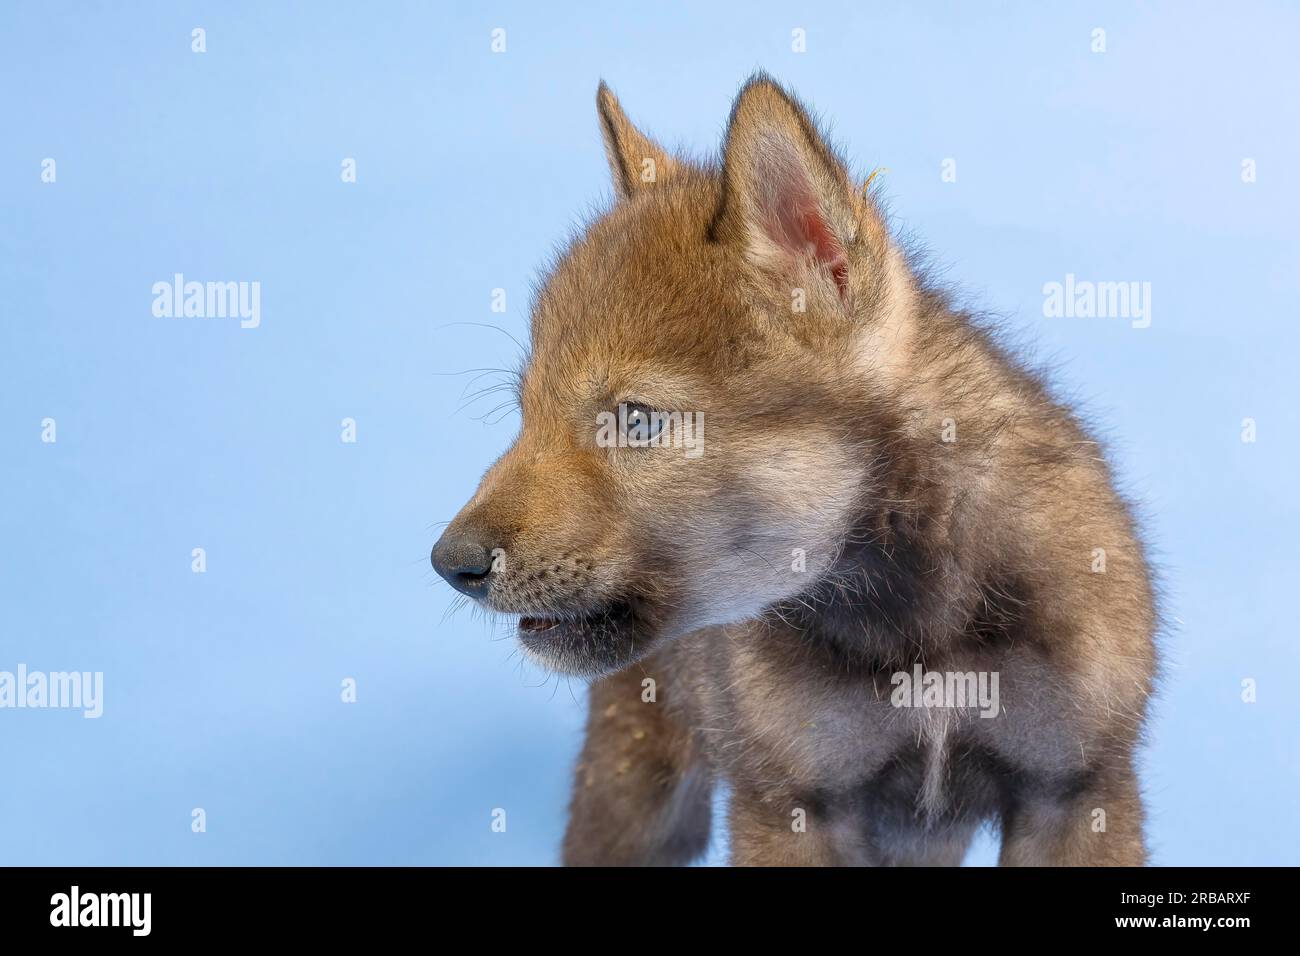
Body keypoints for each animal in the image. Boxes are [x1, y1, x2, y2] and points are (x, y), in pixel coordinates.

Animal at [431, 74, 1157, 866]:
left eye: (637, 420)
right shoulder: (791, 806)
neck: (920, 619)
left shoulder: (1077, 791)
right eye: (525, 411)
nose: (449, 563)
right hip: (635, 793)